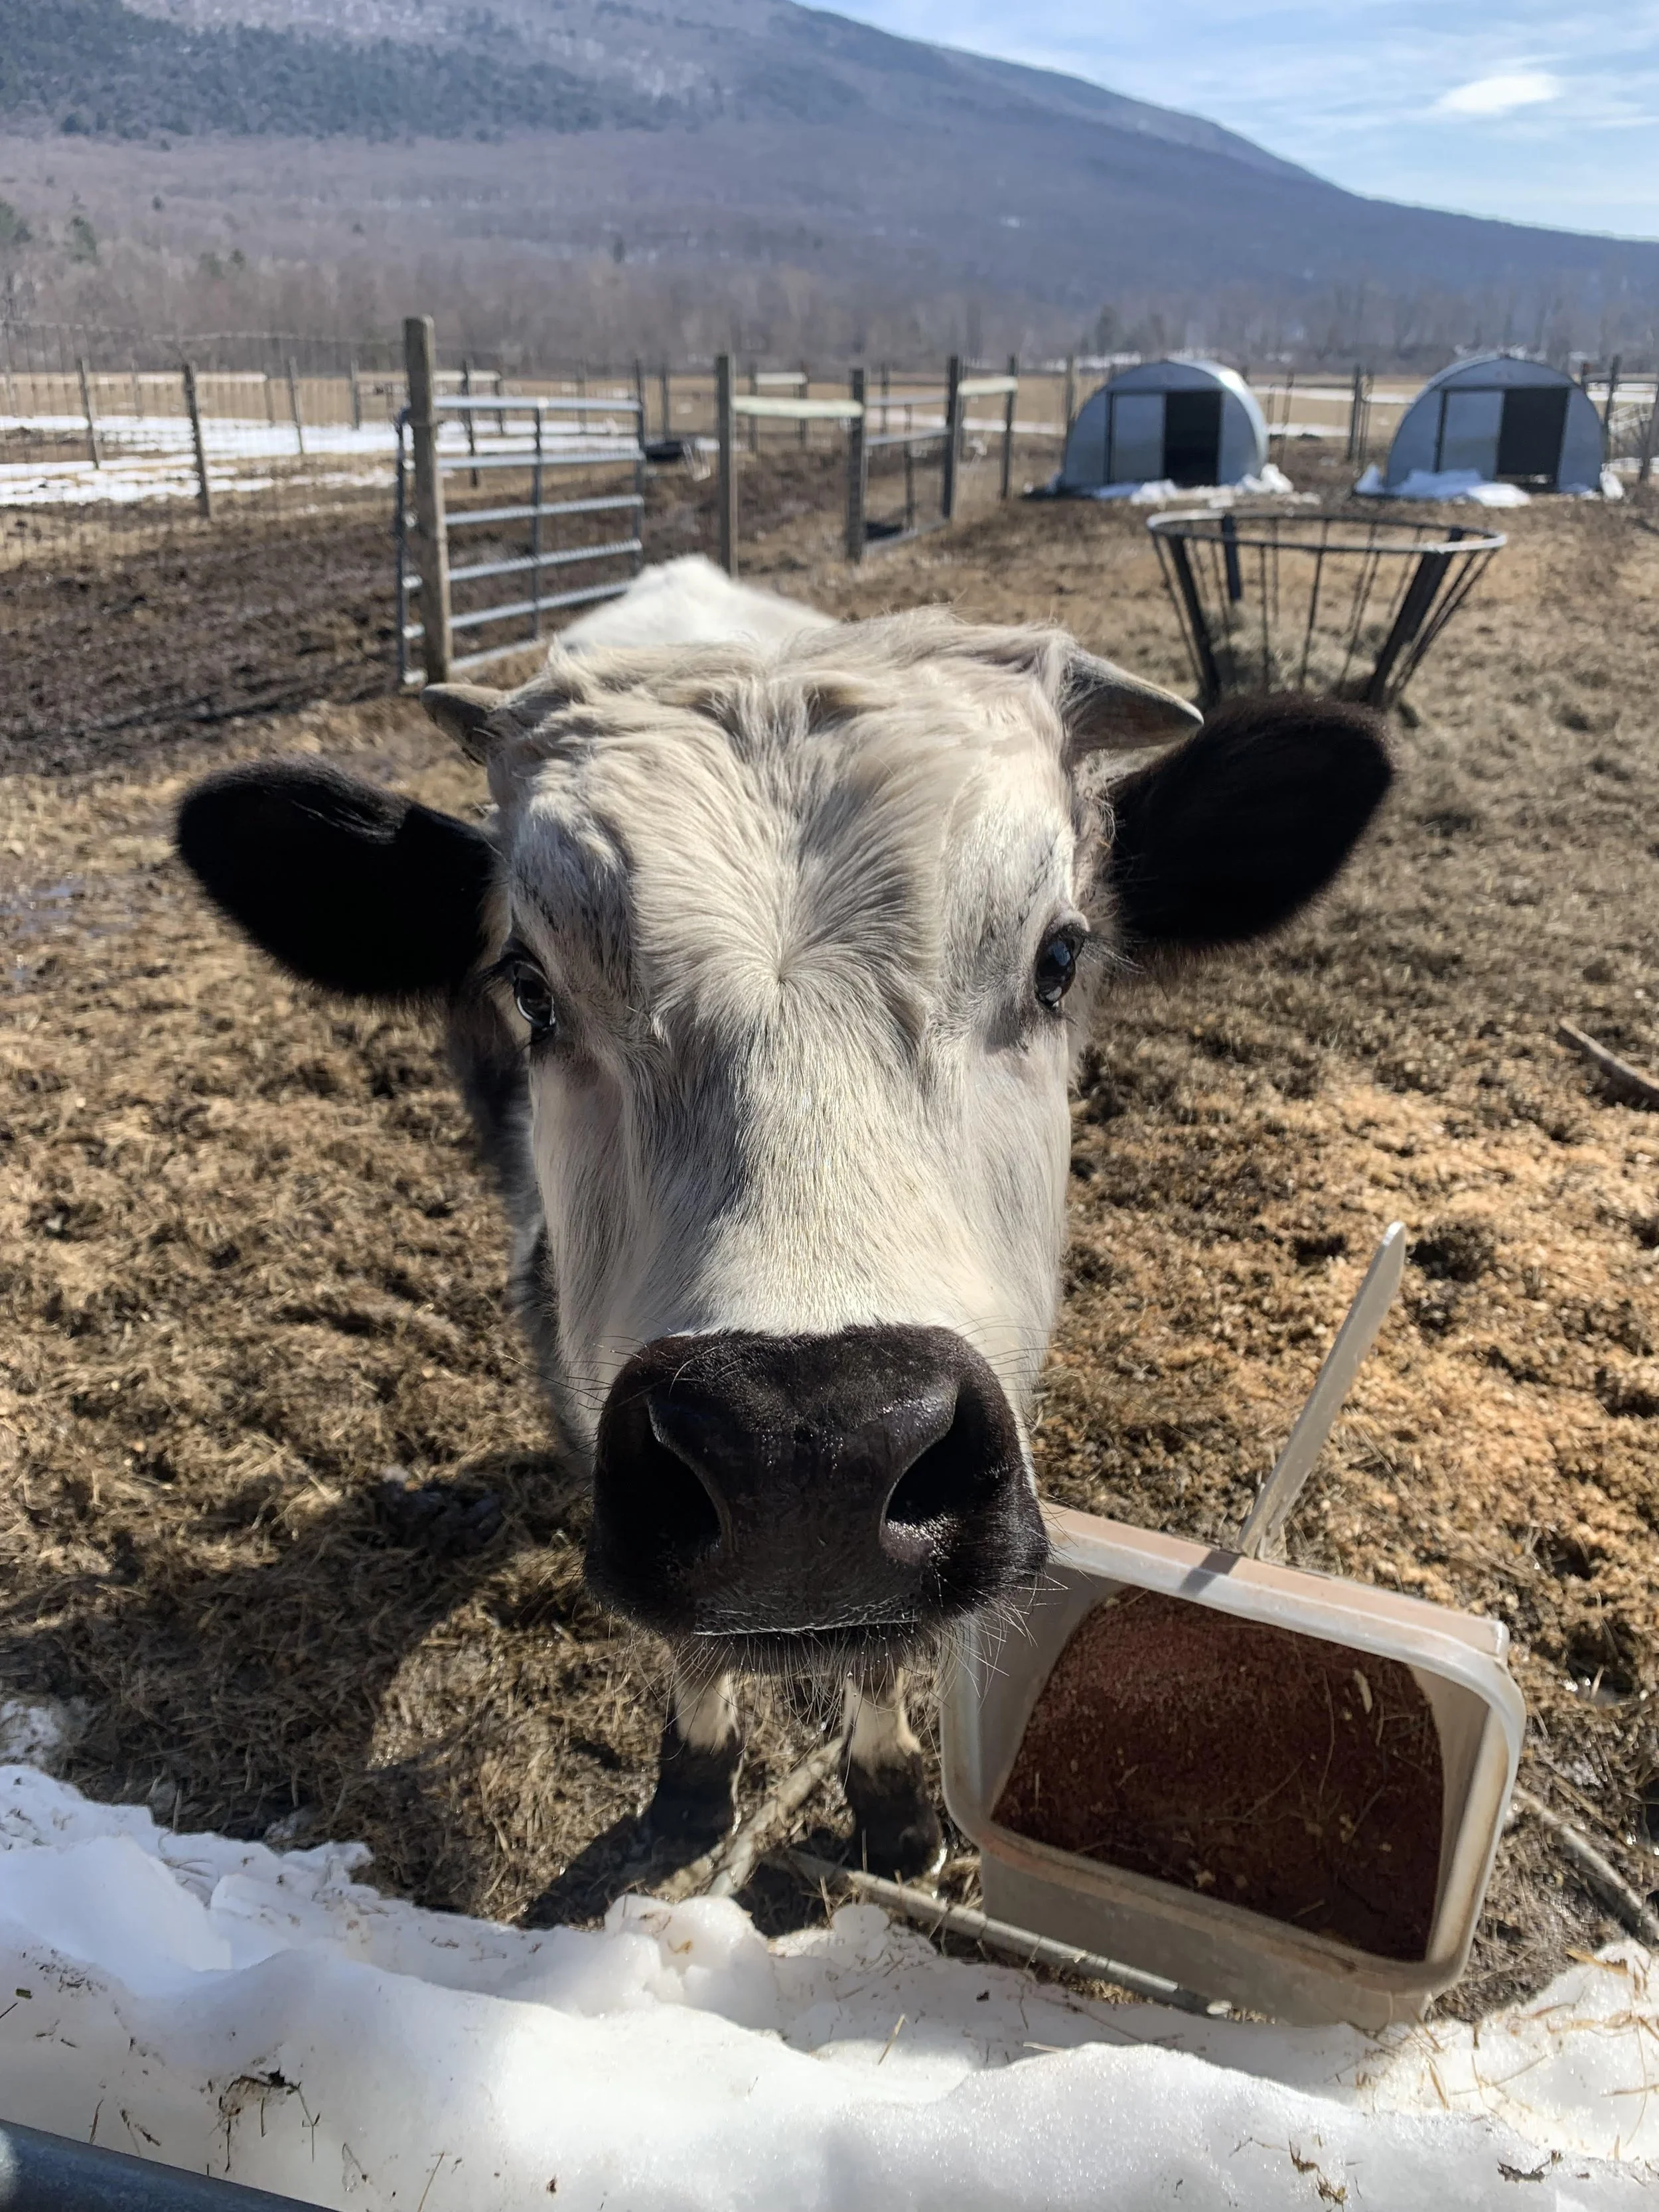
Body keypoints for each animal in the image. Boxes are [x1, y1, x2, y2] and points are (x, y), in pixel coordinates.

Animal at [176, 569, 1390, 1878]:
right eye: (533, 988)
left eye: (1060, 957)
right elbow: (695, 1638)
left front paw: (894, 1803)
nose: (804, 1466)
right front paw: (694, 1784)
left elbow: (880, 1643)